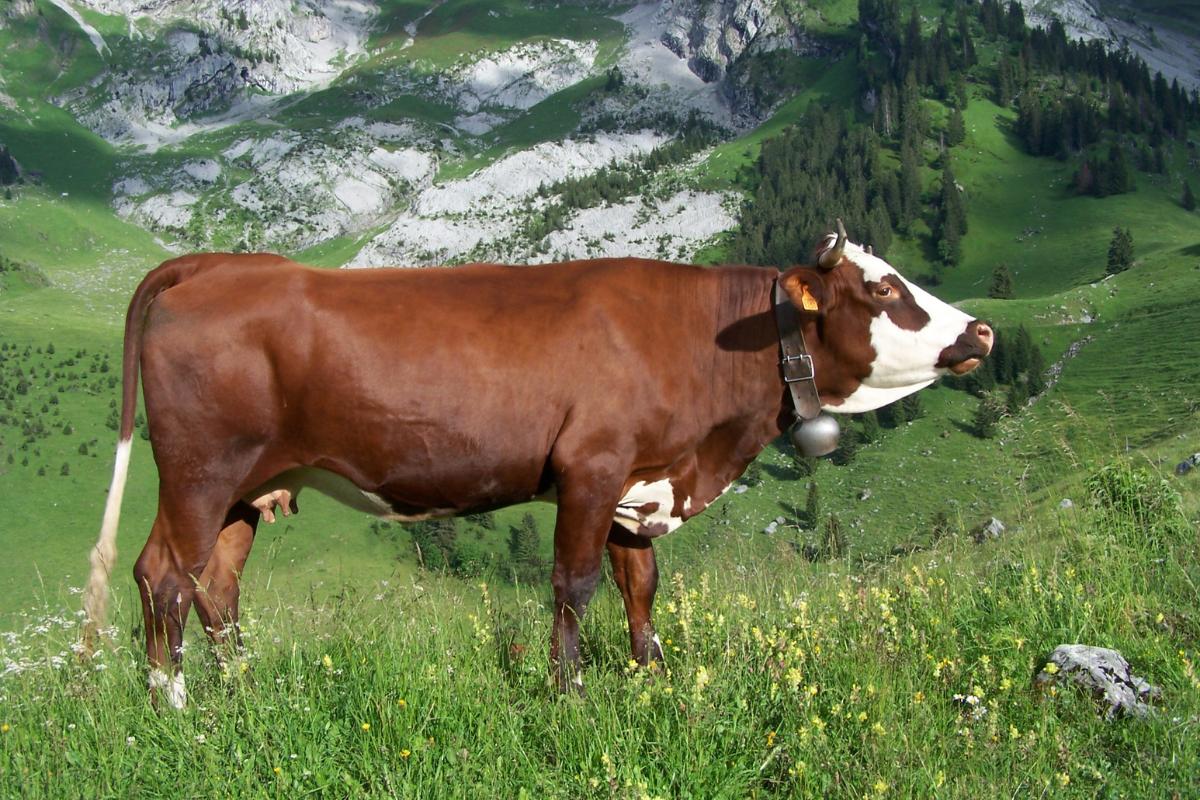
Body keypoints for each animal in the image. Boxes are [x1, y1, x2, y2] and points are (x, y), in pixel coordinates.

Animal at [81, 224, 991, 706]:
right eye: (882, 290)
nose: (980, 331)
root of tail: (214, 265)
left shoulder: (641, 482)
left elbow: (641, 587)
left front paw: (652, 683)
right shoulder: (592, 467)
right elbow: (574, 585)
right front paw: (571, 693)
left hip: (252, 485)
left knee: (217, 586)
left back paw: (247, 693)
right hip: (199, 470)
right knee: (163, 575)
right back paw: (174, 705)